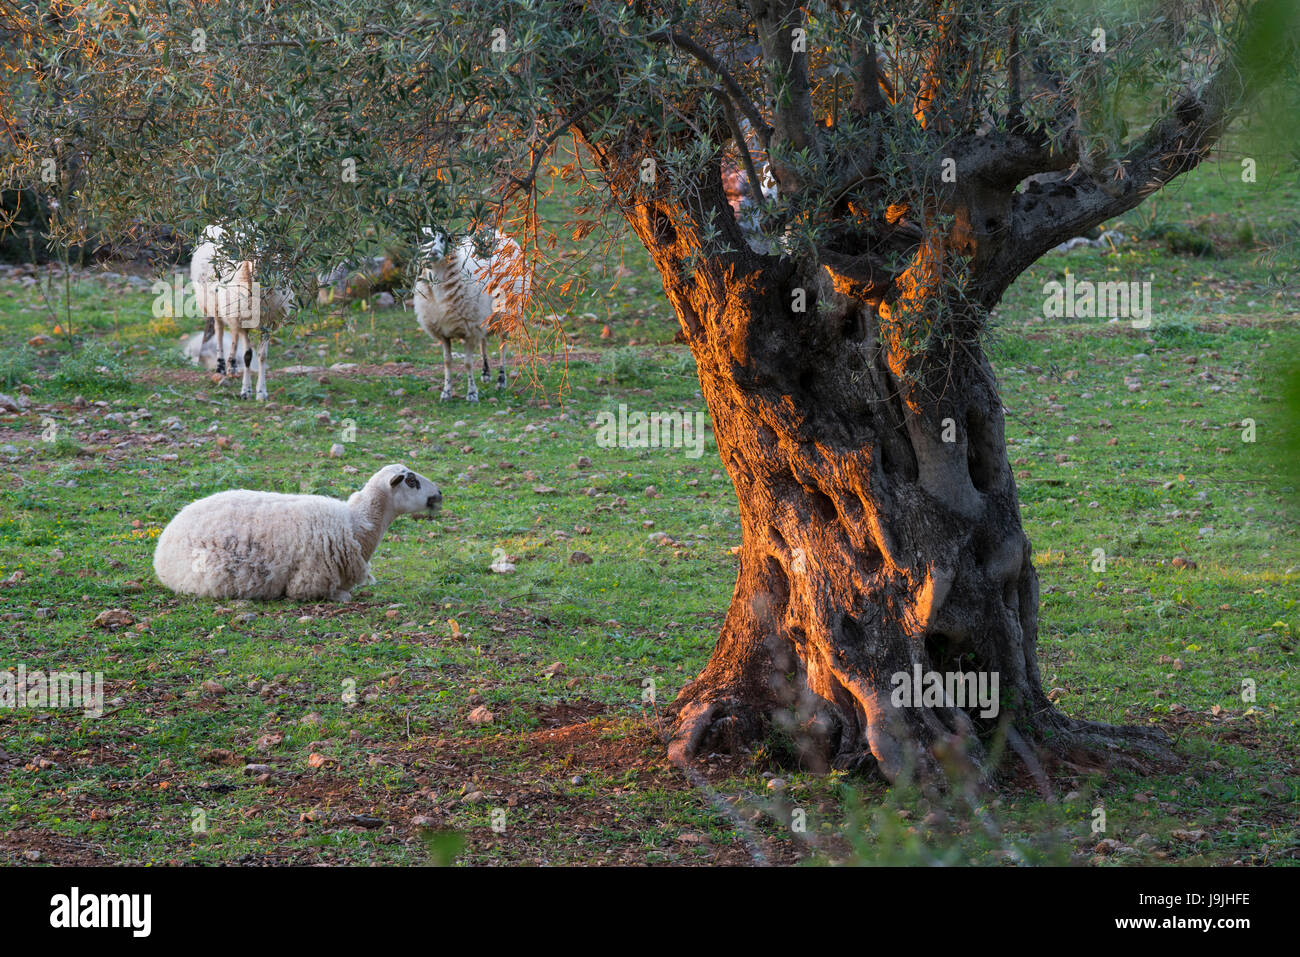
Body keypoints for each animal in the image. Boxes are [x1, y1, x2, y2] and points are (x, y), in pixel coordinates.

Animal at [191, 224, 293, 401]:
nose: (265, 278)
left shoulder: (267, 323)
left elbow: (262, 356)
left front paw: (261, 392)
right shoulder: (242, 322)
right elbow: (247, 356)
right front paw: (246, 391)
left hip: (233, 313)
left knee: (234, 335)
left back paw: (232, 366)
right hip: (215, 305)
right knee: (219, 331)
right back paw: (221, 366)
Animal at [413, 228, 530, 401]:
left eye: (445, 238)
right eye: (423, 239)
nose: (432, 253)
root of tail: (498, 233)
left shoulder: (470, 330)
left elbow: (468, 363)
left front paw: (472, 393)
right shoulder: (444, 331)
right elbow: (447, 362)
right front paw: (446, 392)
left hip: (507, 313)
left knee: (502, 346)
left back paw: (501, 380)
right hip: (482, 316)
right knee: (484, 343)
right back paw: (486, 373)